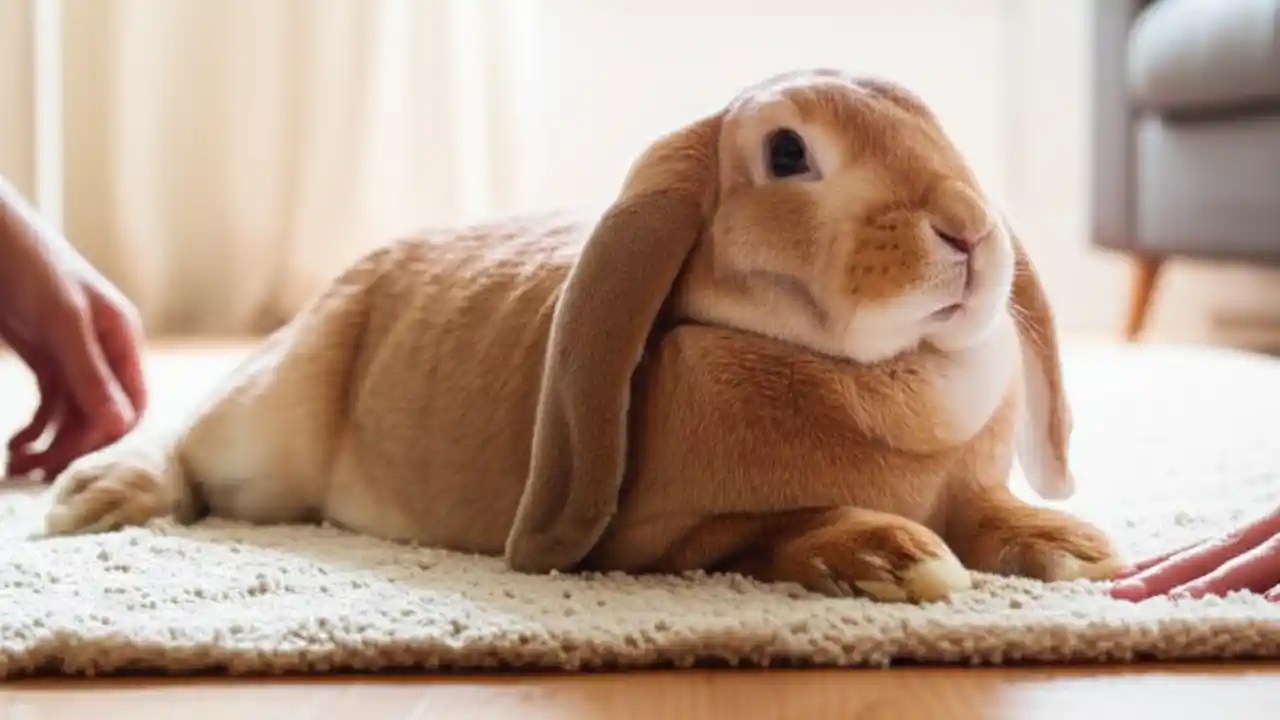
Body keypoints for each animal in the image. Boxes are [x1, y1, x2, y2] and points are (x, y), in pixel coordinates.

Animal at [38, 69, 1122, 602]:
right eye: (786, 153)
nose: (970, 231)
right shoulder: (668, 540)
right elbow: (773, 531)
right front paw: (895, 557)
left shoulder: (967, 482)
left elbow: (986, 509)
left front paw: (1073, 549)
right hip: (274, 421)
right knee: (189, 443)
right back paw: (94, 496)